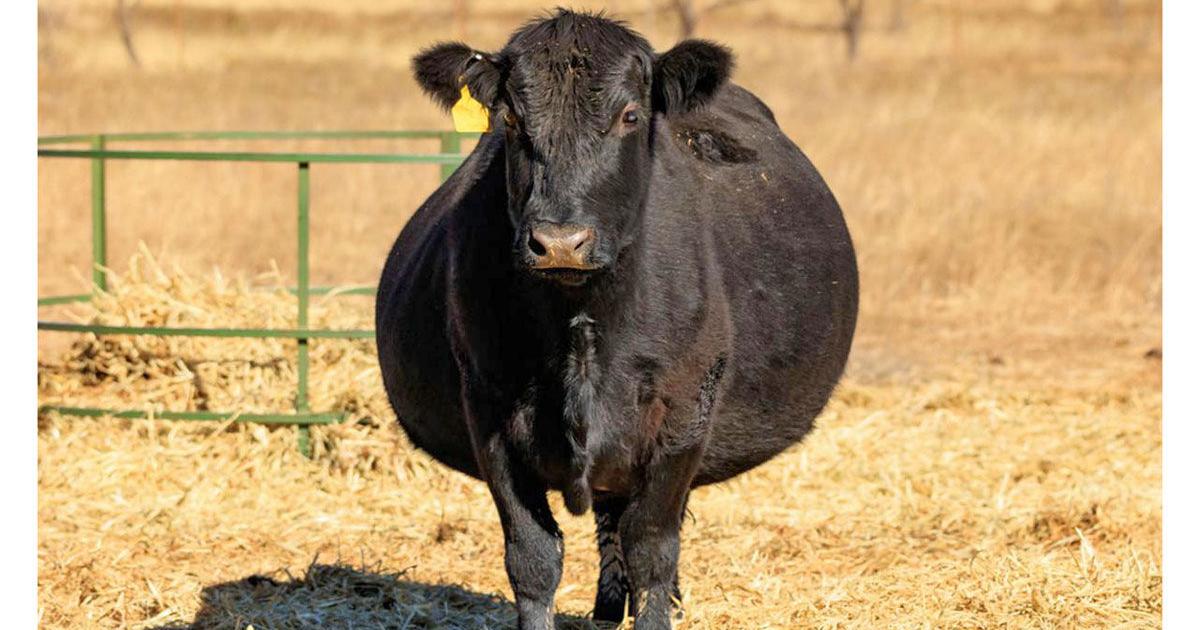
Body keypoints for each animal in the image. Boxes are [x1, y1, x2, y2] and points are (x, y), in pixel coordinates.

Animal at [375, 9, 858, 629]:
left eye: (630, 115)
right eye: (510, 117)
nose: (560, 242)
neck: (581, 323)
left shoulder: (683, 413)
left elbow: (652, 547)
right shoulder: (489, 411)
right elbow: (533, 558)